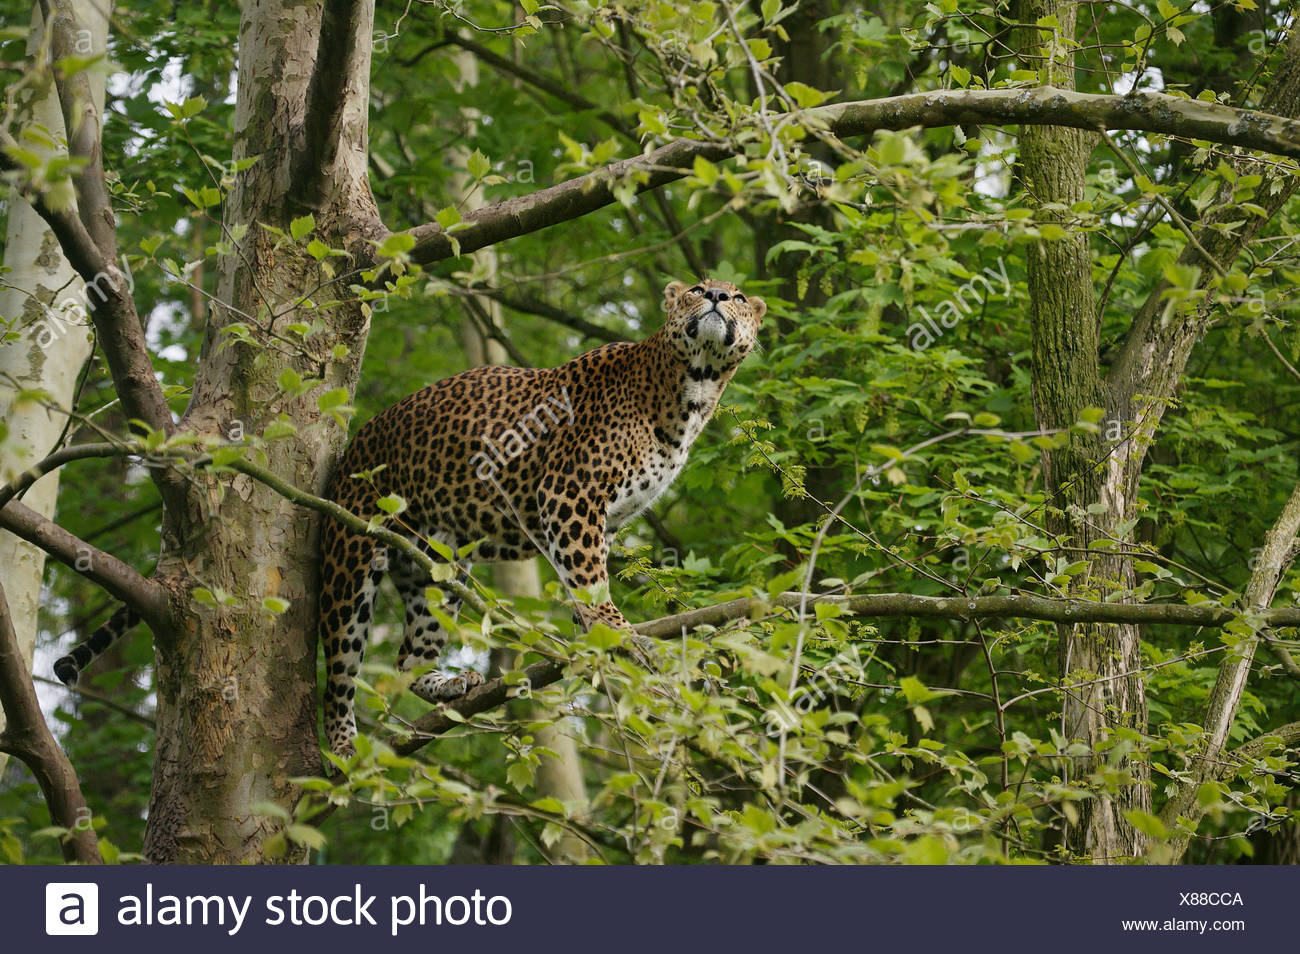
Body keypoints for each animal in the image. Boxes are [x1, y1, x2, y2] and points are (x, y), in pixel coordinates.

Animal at [318, 278, 765, 755]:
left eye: (738, 298)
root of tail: (353, 448)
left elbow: (584, 577)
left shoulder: (607, 520)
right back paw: (344, 750)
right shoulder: (570, 493)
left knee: (409, 659)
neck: (693, 389)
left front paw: (589, 637)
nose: (717, 295)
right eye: (697, 289)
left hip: (436, 566)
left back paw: (450, 684)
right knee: (339, 674)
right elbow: (590, 578)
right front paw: (617, 629)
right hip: (350, 563)